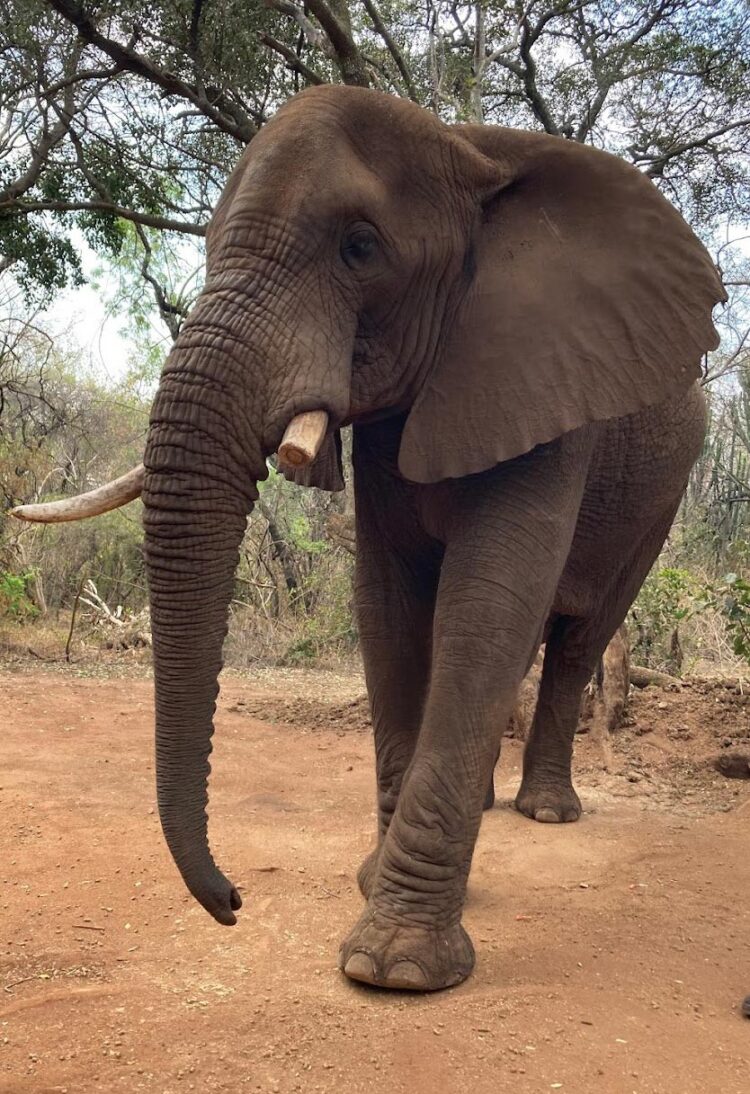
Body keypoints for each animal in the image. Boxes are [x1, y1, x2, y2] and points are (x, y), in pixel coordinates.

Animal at [12, 84, 726, 993]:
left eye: (360, 248)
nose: (233, 900)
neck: (468, 152)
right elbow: (388, 606)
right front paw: (370, 884)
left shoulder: (548, 381)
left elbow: (485, 604)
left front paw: (395, 967)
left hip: (662, 494)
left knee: (577, 637)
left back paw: (546, 812)